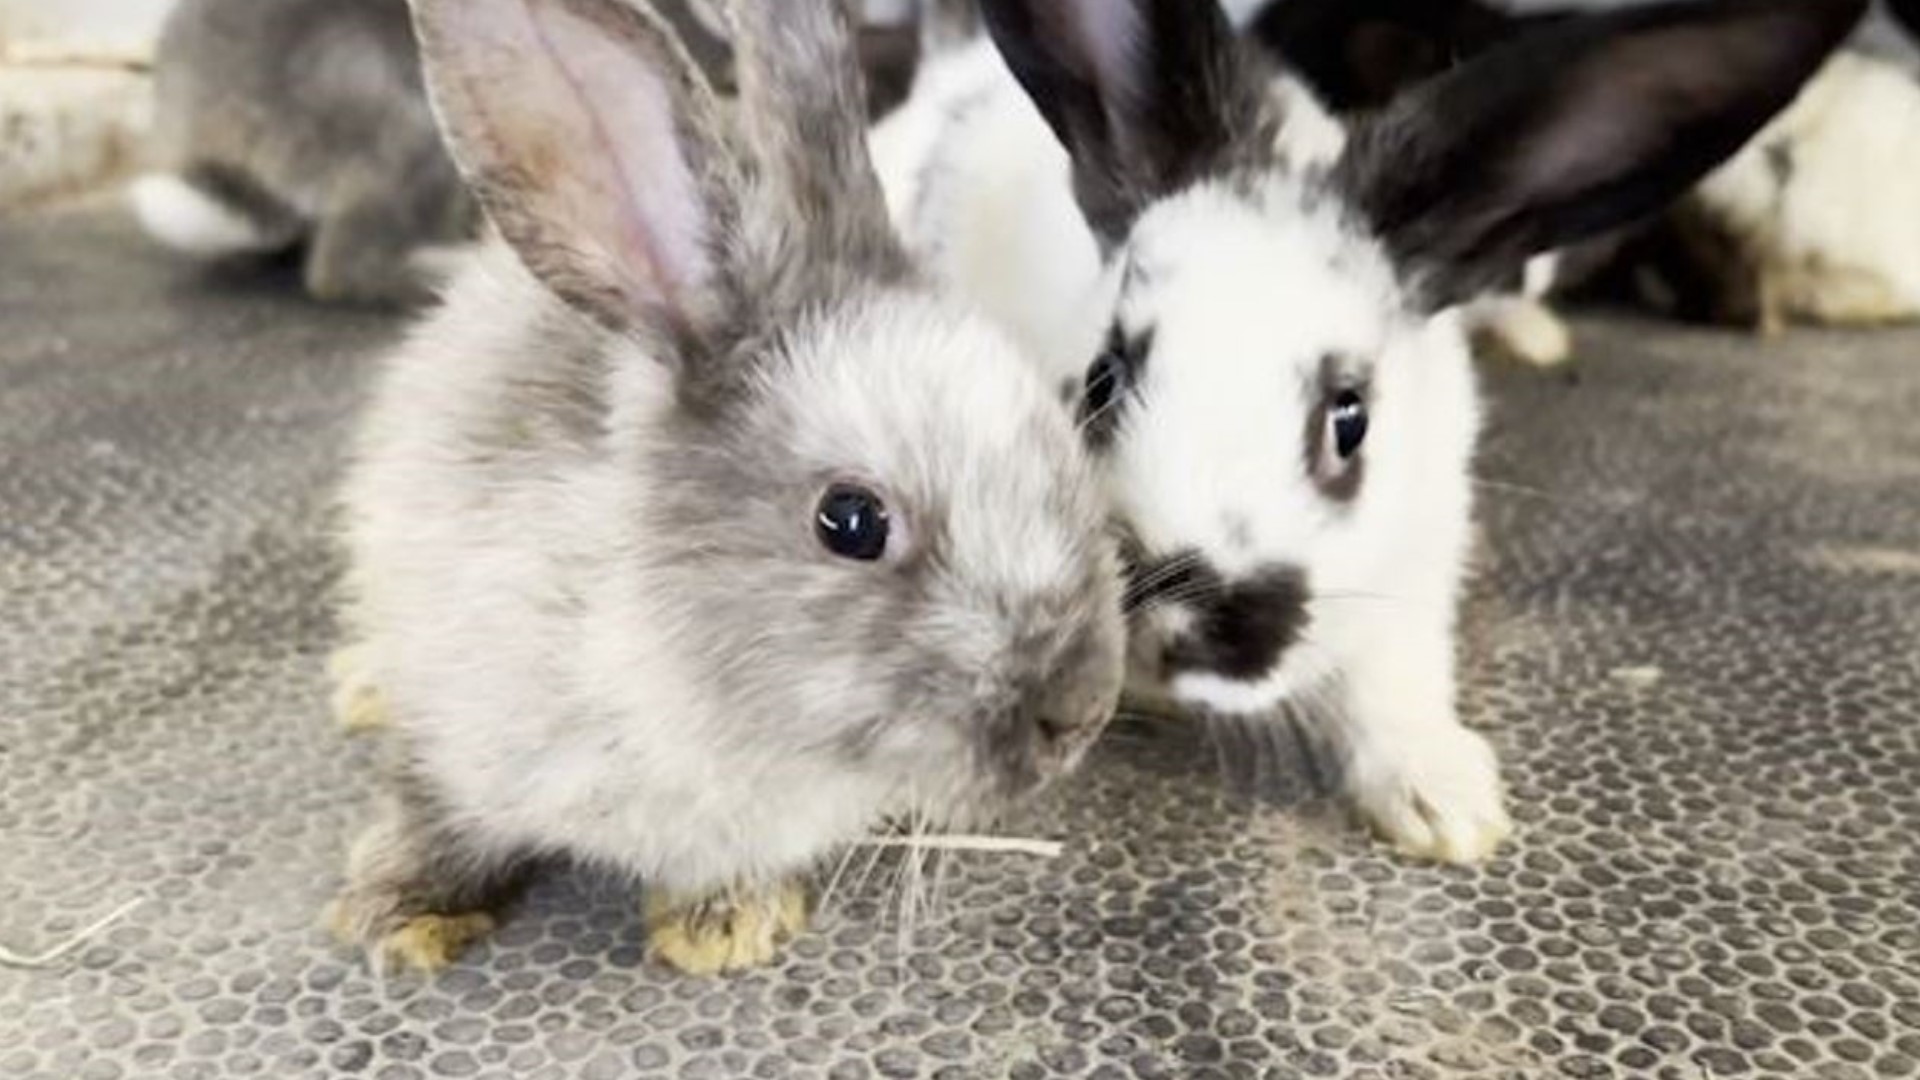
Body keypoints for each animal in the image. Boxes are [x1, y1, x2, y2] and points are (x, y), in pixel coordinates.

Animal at [326, 0, 1126, 978]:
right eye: (850, 521)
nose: (1082, 712)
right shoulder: (454, 723)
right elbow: (429, 811)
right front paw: (395, 918)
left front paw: (724, 927)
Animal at [872, 0, 1860, 864]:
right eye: (1100, 382)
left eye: (1349, 422)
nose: (1172, 613)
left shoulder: (1420, 559)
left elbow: (1398, 680)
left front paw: (1445, 807)